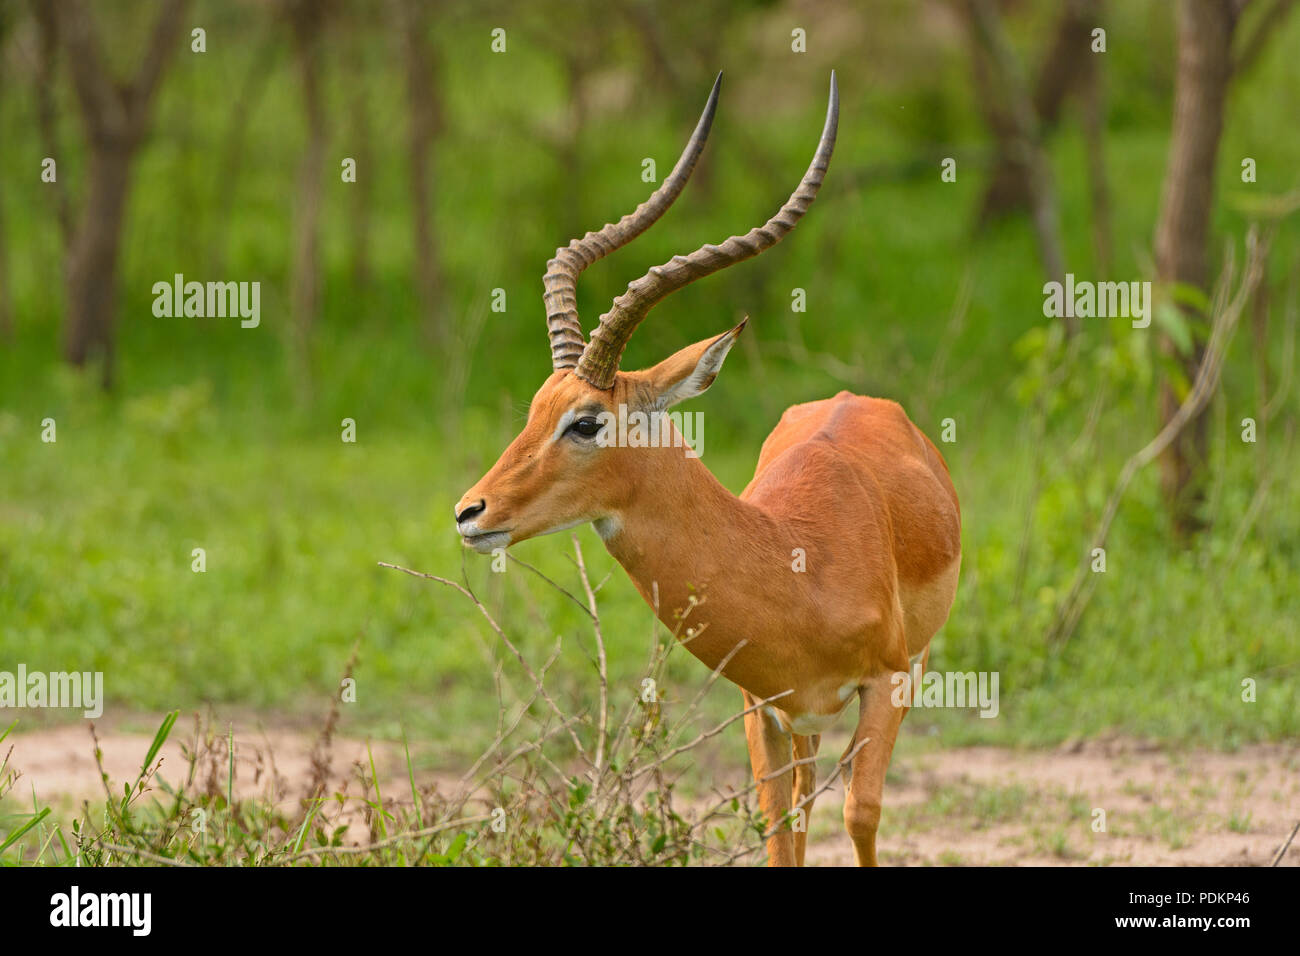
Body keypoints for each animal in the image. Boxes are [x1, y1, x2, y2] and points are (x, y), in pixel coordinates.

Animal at [455, 73, 961, 866]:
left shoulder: (890, 682)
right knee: (803, 807)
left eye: (587, 420)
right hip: (802, 724)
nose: (470, 512)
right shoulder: (763, 705)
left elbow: (862, 815)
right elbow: (779, 831)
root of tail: (859, 399)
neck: (800, 562)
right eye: (537, 406)